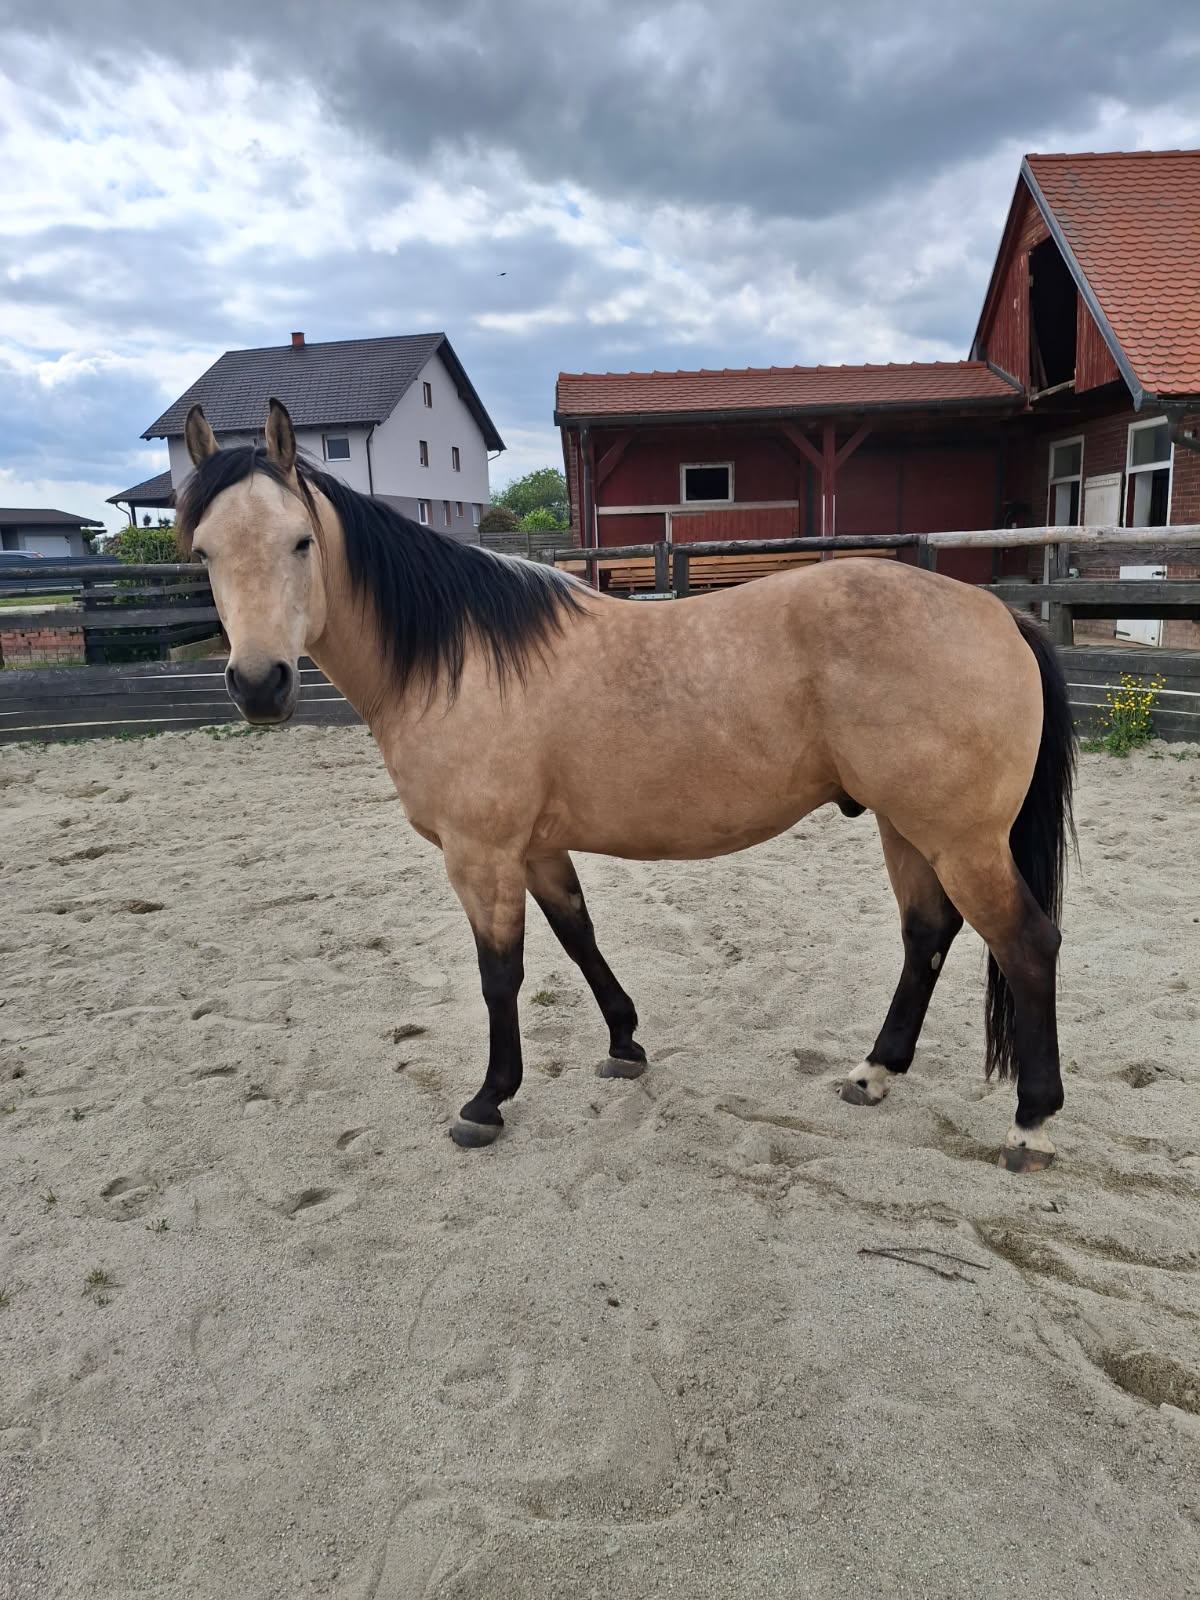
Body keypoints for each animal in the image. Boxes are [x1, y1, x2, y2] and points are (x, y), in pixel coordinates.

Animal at [178, 398, 1076, 1173]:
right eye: (204, 551)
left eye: (300, 542)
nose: (258, 684)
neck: (458, 659)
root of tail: (998, 614)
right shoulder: (535, 849)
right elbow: (579, 935)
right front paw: (624, 1044)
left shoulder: (481, 854)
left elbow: (500, 973)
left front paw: (488, 1101)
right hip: (908, 826)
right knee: (927, 935)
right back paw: (876, 1071)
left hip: (960, 838)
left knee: (1026, 944)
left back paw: (1031, 1122)